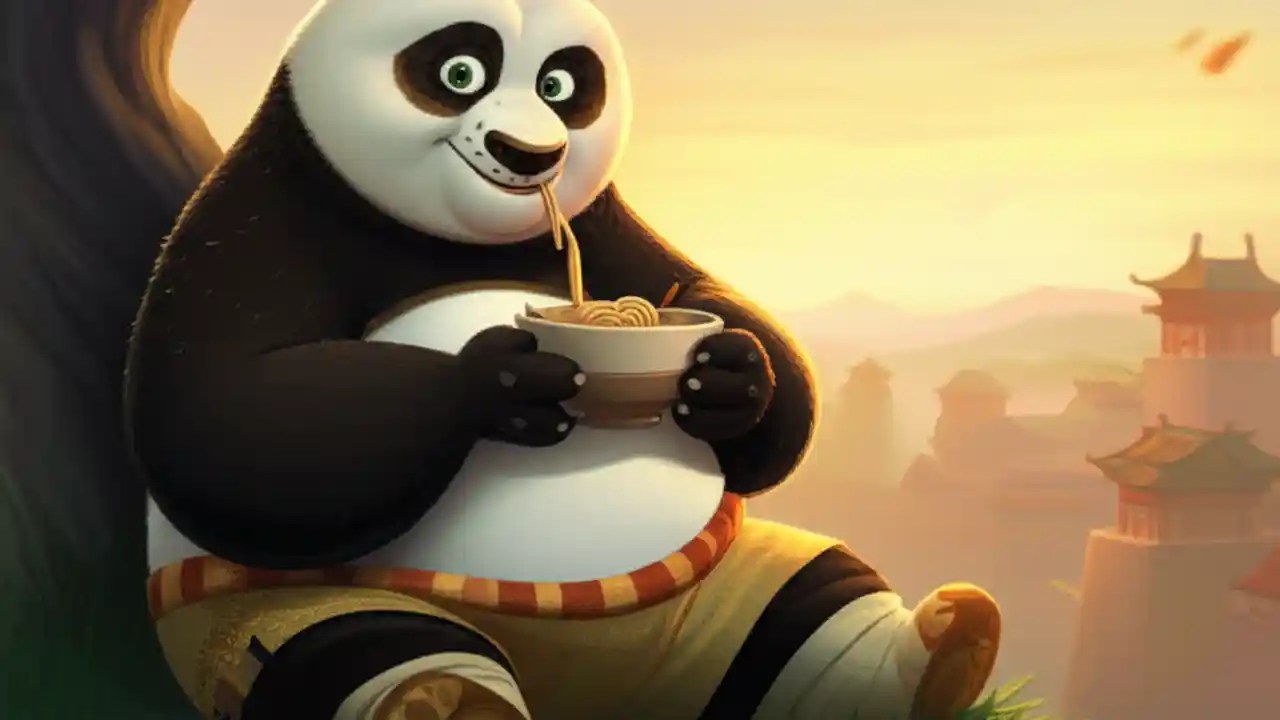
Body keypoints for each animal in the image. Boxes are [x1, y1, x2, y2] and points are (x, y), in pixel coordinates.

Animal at [127, 1, 1002, 719]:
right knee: (354, 650)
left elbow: (709, 304)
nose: (530, 154)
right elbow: (224, 429)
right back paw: (440, 699)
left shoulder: (604, 221)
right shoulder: (262, 214)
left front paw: (731, 377)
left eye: (561, 85)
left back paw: (944, 646)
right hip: (268, 608)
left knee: (810, 596)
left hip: (714, 588)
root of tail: (594, 684)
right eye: (459, 73)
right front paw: (503, 380)